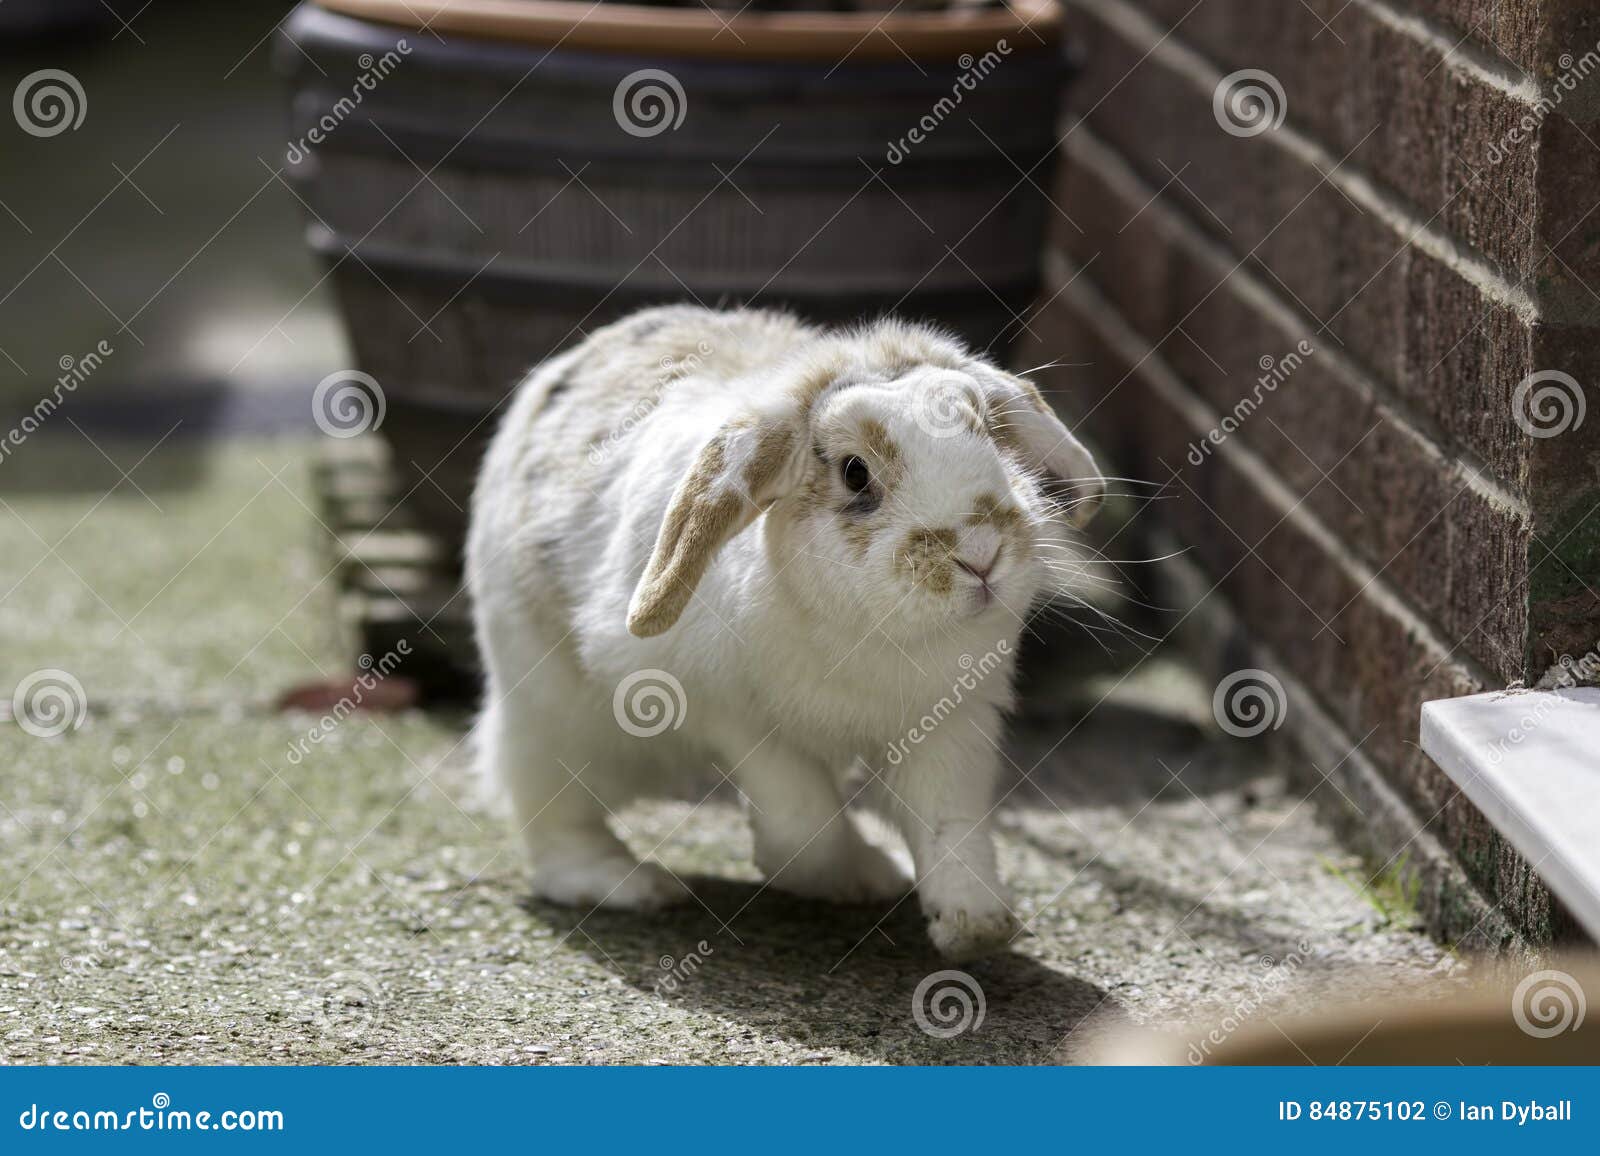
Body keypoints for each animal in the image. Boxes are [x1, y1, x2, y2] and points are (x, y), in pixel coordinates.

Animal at [466, 304, 1104, 961]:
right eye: (855, 473)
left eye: (988, 436)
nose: (980, 554)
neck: (875, 636)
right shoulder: (735, 718)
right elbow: (804, 824)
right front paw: (851, 876)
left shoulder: (949, 725)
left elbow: (950, 821)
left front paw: (975, 927)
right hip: (553, 714)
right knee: (550, 810)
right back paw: (627, 885)